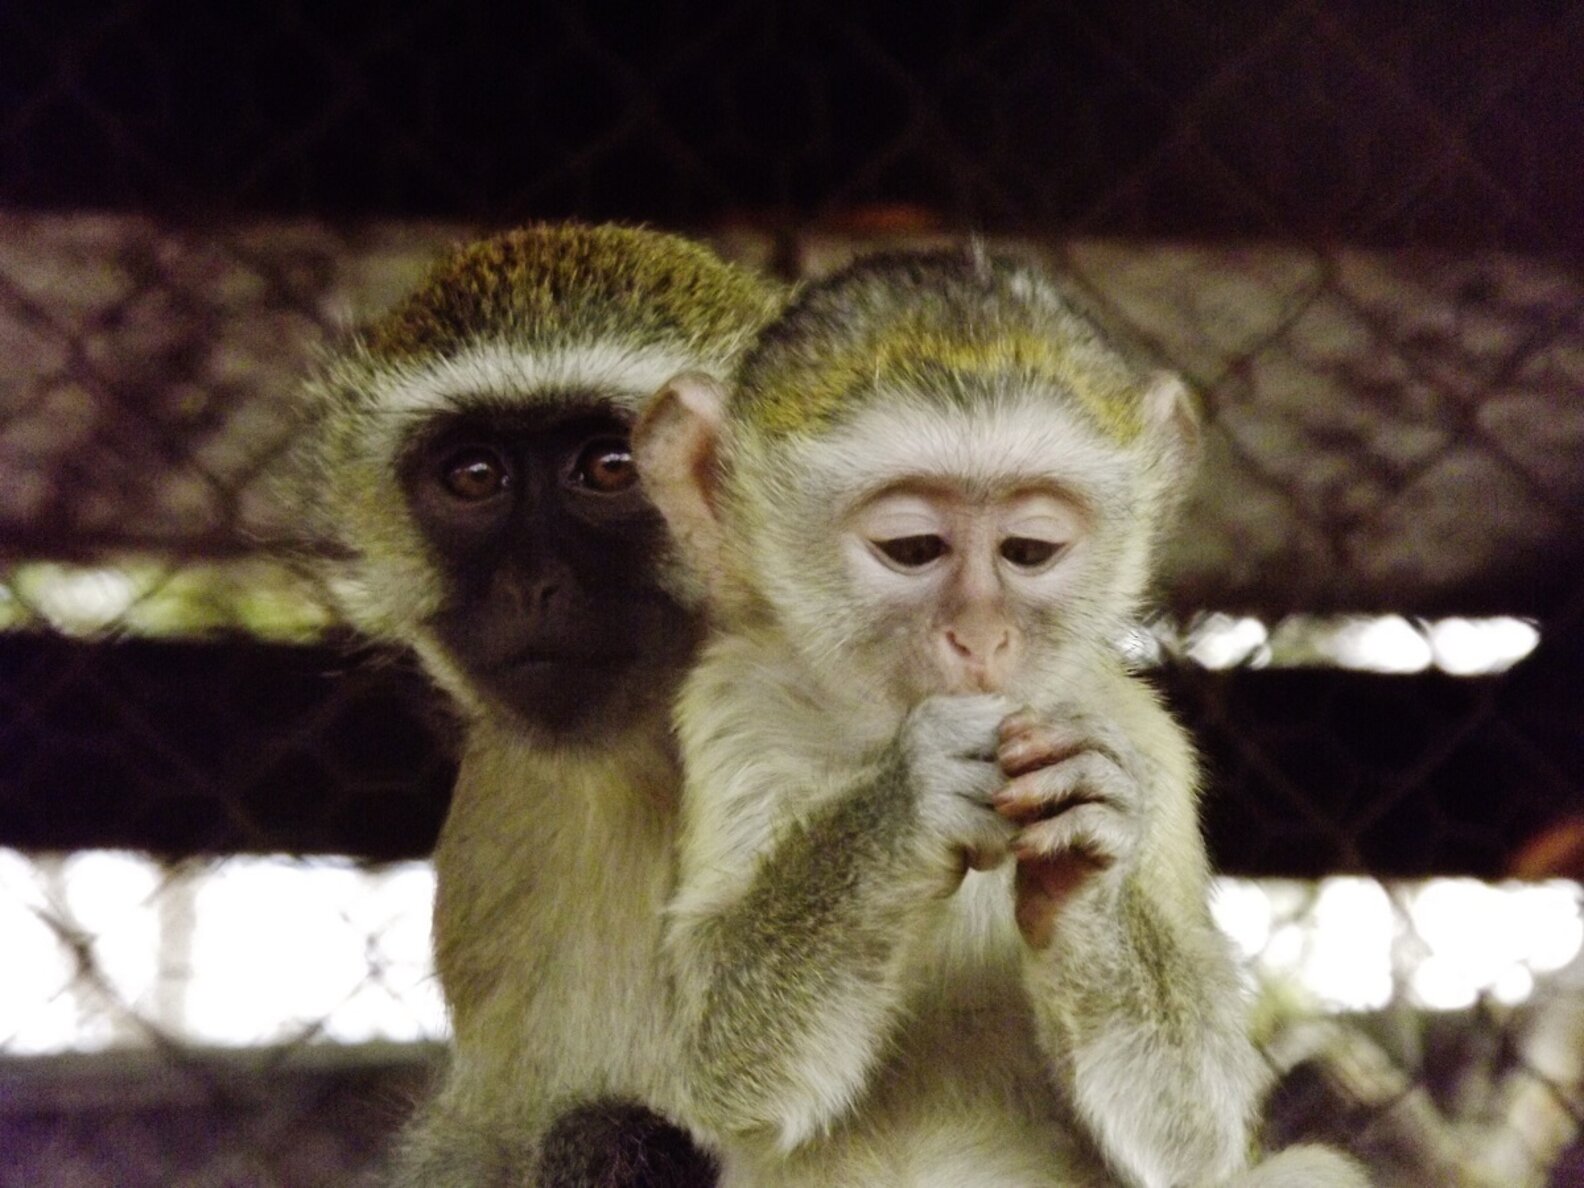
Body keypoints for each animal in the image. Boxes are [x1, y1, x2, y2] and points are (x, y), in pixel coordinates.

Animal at [632, 246, 1369, 1187]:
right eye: (912, 548)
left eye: (1029, 550)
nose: (980, 636)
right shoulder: (735, 704)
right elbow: (717, 1061)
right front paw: (907, 805)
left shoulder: (1143, 737)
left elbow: (1194, 1140)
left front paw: (1093, 866)